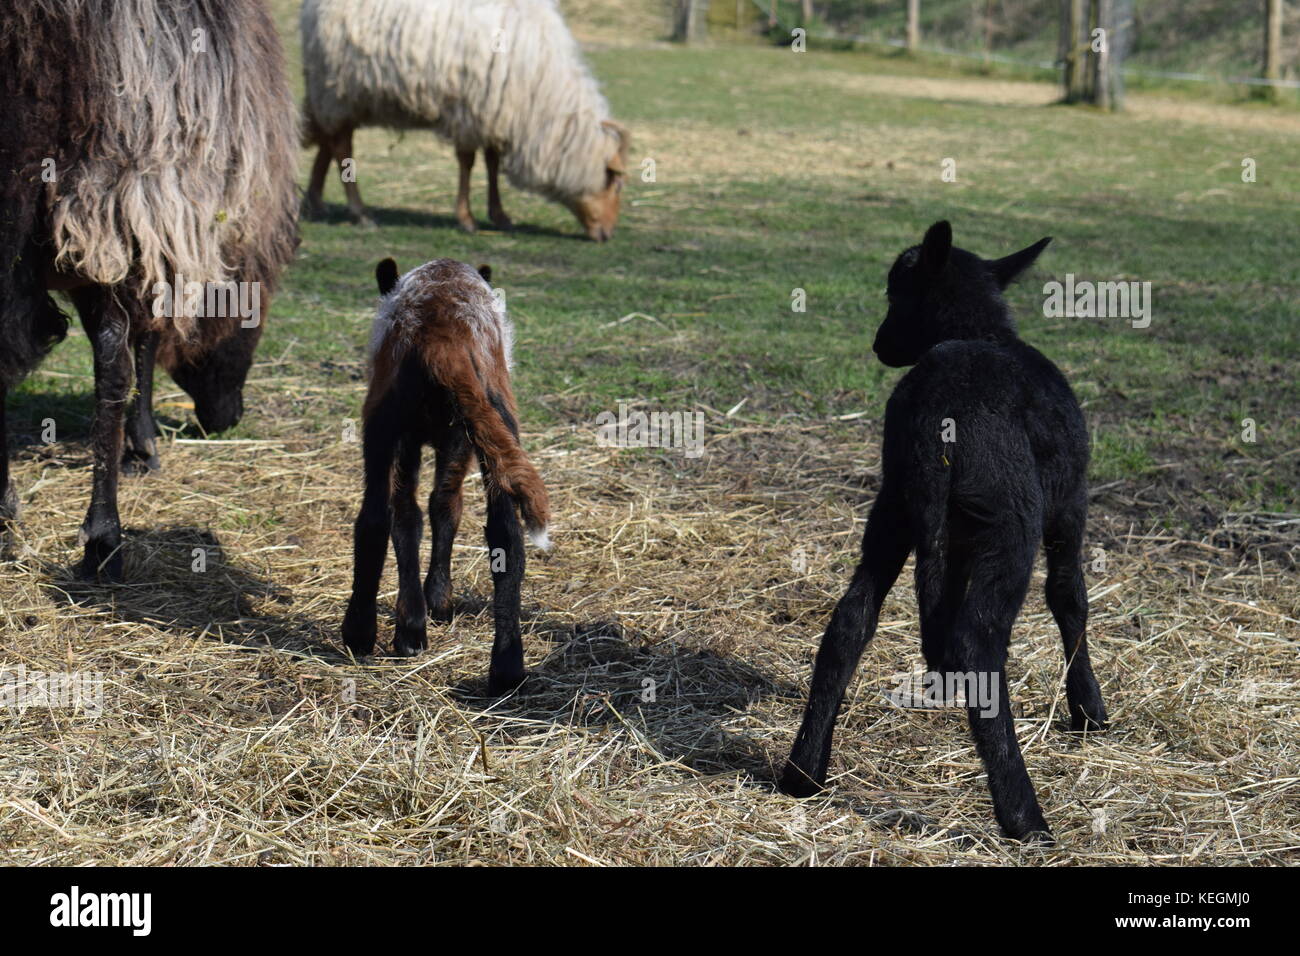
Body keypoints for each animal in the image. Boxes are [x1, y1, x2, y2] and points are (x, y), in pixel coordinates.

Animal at [0, 0, 298, 579]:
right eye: (253, 319)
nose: (227, 420)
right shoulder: (147, 206)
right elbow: (137, 349)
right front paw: (141, 450)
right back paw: (97, 536)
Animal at [300, 0, 629, 240]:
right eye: (616, 184)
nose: (608, 235)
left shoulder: (494, 114)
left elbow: (492, 162)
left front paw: (500, 216)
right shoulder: (470, 112)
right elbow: (467, 163)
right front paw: (467, 219)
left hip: (338, 95)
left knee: (328, 141)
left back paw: (315, 203)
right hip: (339, 90)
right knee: (341, 147)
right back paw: (360, 213)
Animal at [342, 257, 550, 693]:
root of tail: (443, 332)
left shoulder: (418, 438)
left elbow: (420, 513)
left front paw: (421, 617)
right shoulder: (456, 437)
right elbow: (442, 507)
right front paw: (436, 604)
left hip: (385, 419)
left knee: (377, 517)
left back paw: (364, 632)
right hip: (493, 416)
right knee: (505, 533)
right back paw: (506, 670)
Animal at [779, 221, 1108, 843]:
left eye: (892, 293)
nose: (879, 344)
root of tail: (940, 416)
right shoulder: (1070, 503)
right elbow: (1069, 596)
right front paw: (1090, 712)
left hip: (895, 506)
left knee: (851, 620)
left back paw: (802, 774)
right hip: (1010, 519)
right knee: (977, 640)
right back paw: (1024, 816)